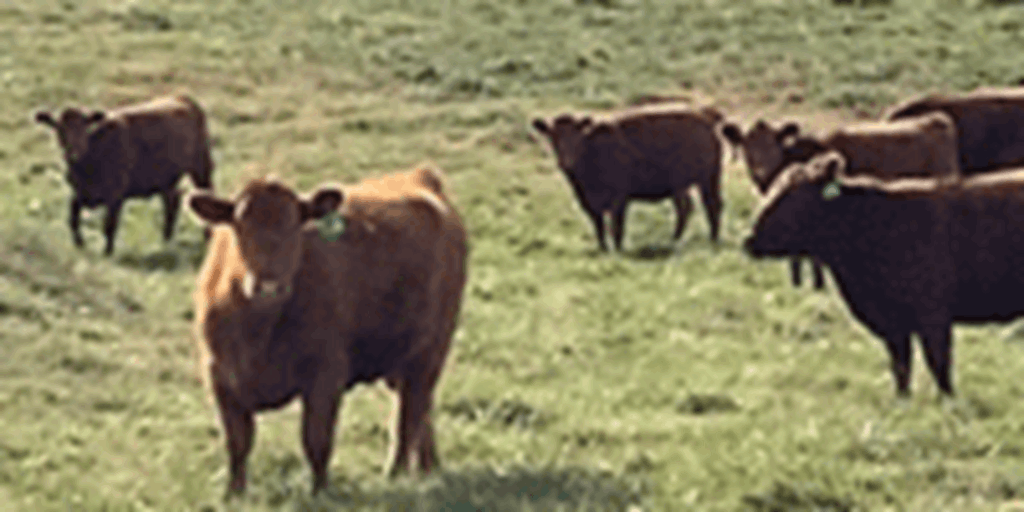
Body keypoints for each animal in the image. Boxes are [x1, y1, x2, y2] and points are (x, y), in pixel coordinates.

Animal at [34, 94, 214, 256]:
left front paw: (107, 253)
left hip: (202, 168)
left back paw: (208, 236)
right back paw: (166, 241)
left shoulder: (115, 196)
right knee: (172, 202)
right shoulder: (77, 193)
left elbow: (109, 225)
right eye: (59, 129)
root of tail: (183, 98)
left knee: (206, 195)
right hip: (166, 180)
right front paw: (79, 245)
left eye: (84, 128)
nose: (73, 153)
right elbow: (72, 220)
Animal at [189, 165, 467, 496]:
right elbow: (237, 443)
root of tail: (420, 175)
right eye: (239, 226)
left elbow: (316, 439)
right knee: (422, 410)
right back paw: (429, 467)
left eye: (296, 225)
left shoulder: (325, 373)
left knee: (408, 416)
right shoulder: (219, 376)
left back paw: (395, 475)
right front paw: (234, 494)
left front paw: (320, 492)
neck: (257, 332)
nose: (269, 286)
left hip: (430, 350)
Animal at [532, 104, 727, 252]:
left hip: (708, 179)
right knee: (687, 208)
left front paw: (618, 250)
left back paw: (711, 239)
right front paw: (603, 249)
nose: (565, 162)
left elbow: (616, 226)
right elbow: (599, 227)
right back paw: (676, 239)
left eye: (576, 137)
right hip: (683, 186)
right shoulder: (589, 203)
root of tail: (705, 115)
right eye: (552, 137)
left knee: (711, 206)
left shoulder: (619, 198)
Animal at [744, 150, 1024, 398]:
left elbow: (939, 366)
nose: (749, 240)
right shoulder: (893, 324)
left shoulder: (933, 316)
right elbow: (900, 367)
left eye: (791, 198)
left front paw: (948, 404)